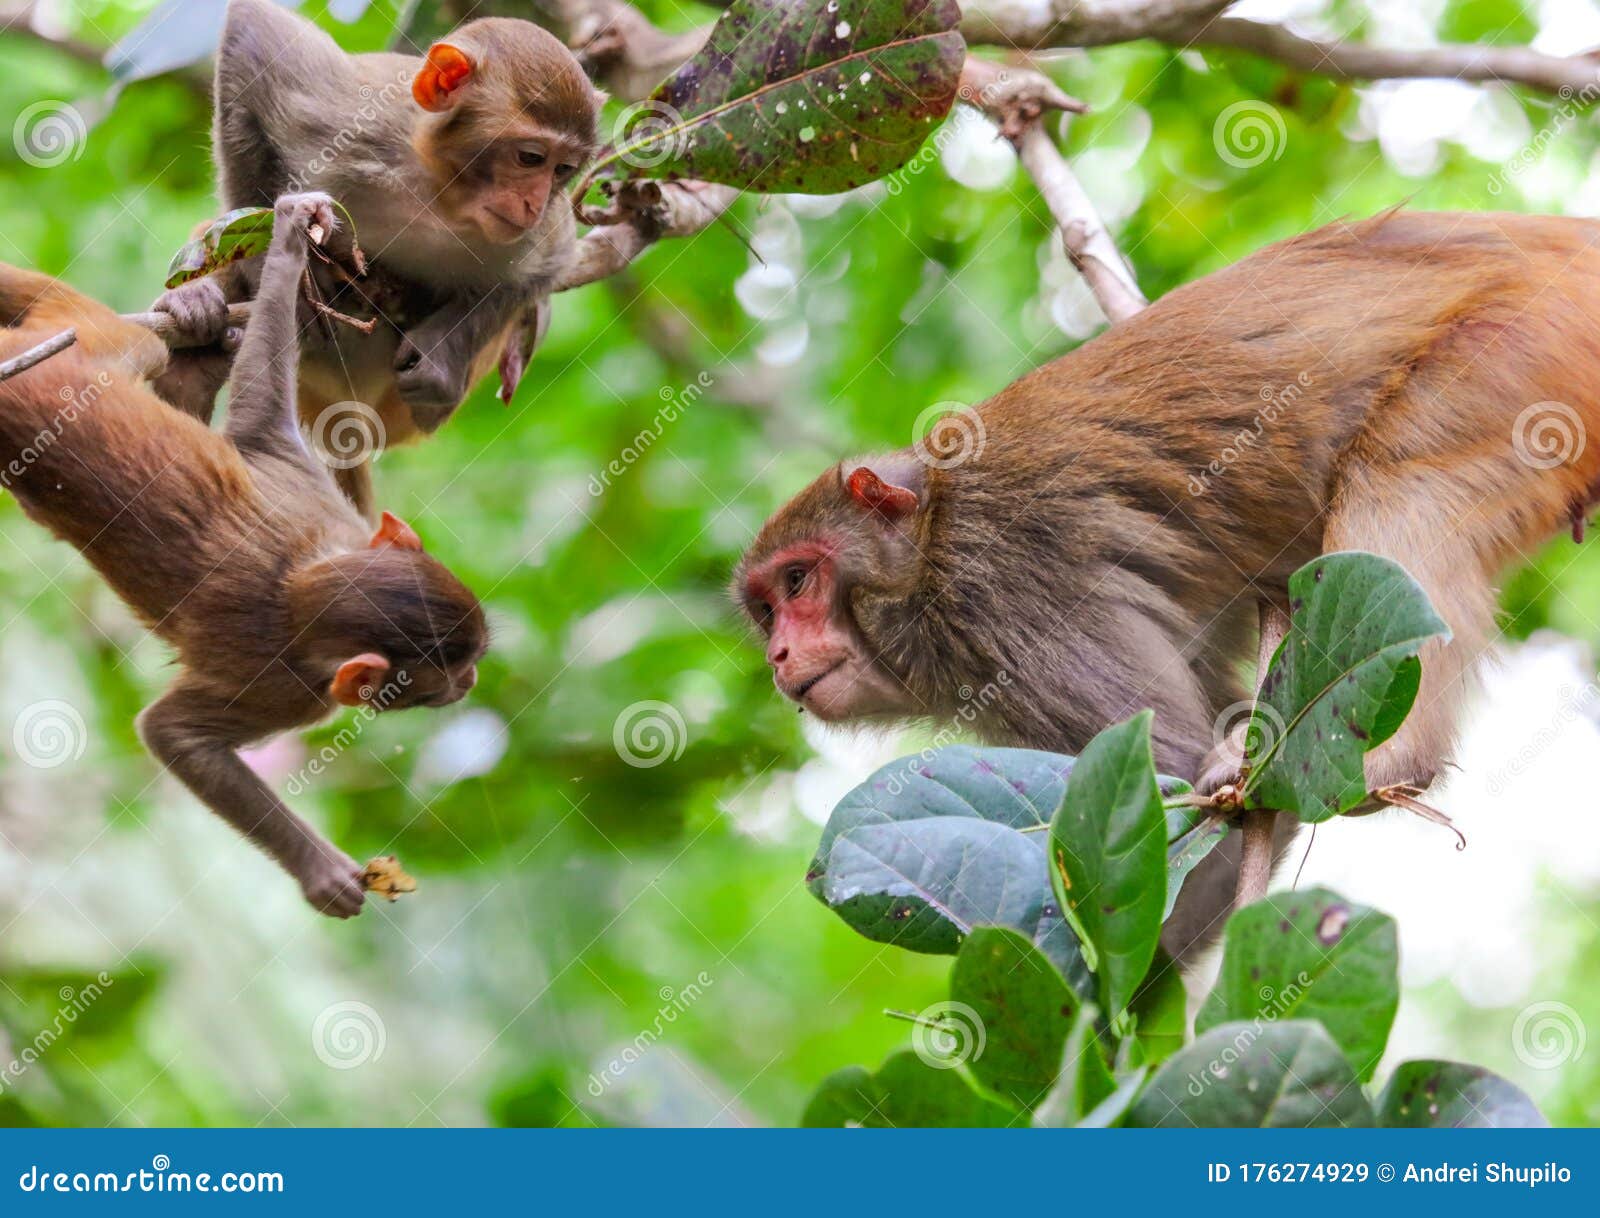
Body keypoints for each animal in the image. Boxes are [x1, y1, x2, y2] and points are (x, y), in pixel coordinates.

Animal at [0, 192, 488, 918]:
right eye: (441, 683)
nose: (472, 682)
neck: (301, 585)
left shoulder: (307, 490)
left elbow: (263, 418)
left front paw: (287, 248)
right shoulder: (288, 692)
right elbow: (174, 734)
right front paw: (320, 872)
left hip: (73, 343)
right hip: (88, 343)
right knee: (143, 347)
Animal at [151, 0, 604, 517]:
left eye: (564, 169)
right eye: (530, 157)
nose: (533, 202)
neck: (443, 191)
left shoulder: (538, 234)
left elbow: (548, 266)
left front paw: (439, 355)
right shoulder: (348, 123)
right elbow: (256, 34)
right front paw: (267, 269)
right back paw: (195, 328)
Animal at [733, 209, 1600, 961]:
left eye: (800, 580)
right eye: (766, 608)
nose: (779, 654)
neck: (934, 538)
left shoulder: (1009, 600)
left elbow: (1174, 787)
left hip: (1523, 348)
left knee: (1403, 475)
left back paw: (1394, 761)